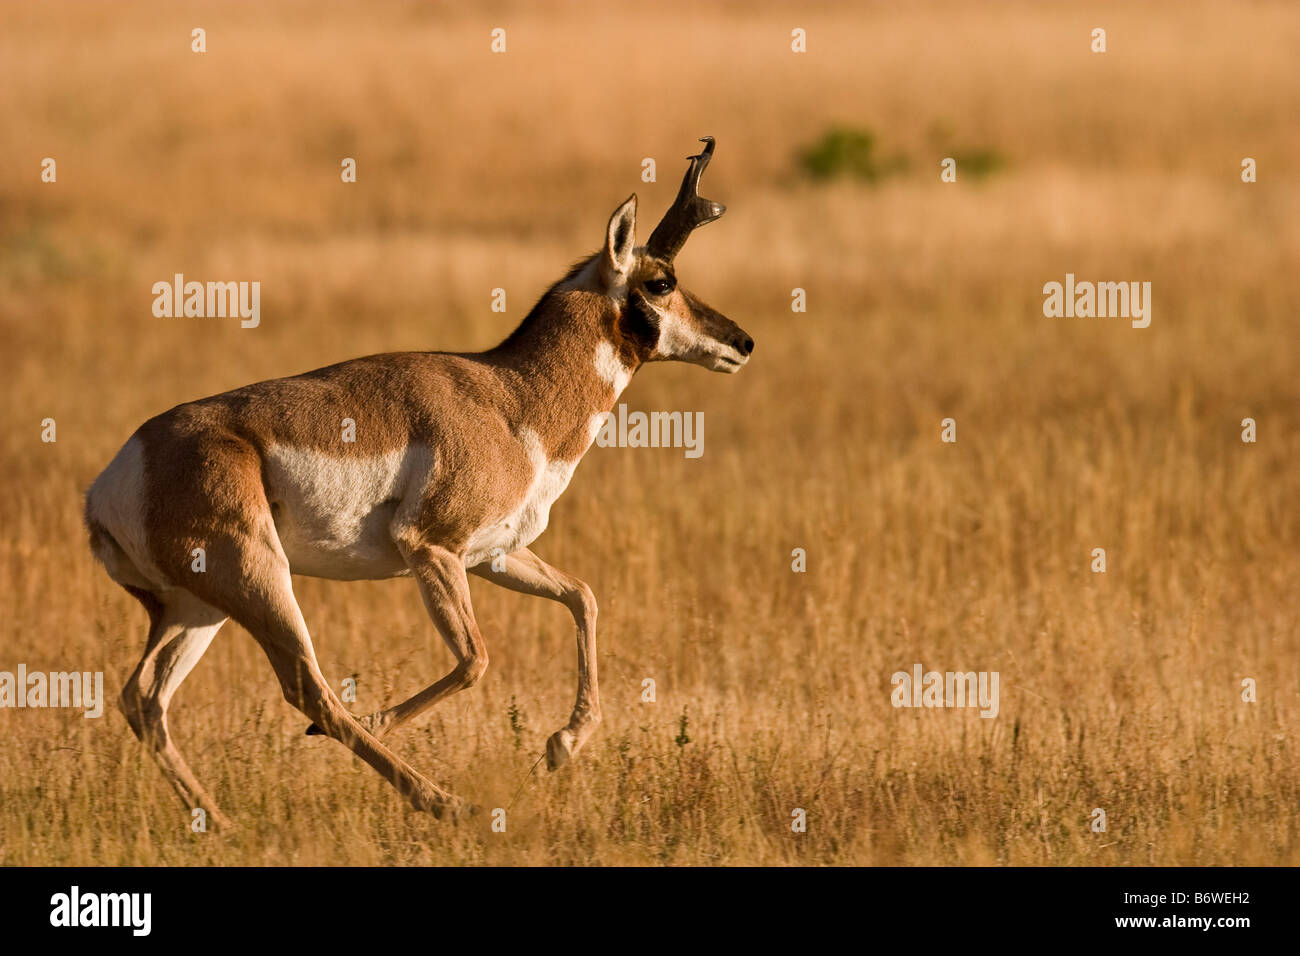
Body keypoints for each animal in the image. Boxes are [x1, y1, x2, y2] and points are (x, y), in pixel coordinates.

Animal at [84, 137, 752, 827]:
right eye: (661, 281)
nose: (743, 342)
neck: (509, 397)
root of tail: (123, 469)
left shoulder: (493, 554)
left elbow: (583, 597)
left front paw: (561, 746)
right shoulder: (430, 548)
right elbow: (477, 658)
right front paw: (392, 721)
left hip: (198, 608)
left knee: (144, 697)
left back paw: (219, 823)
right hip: (260, 581)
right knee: (309, 690)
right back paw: (444, 801)